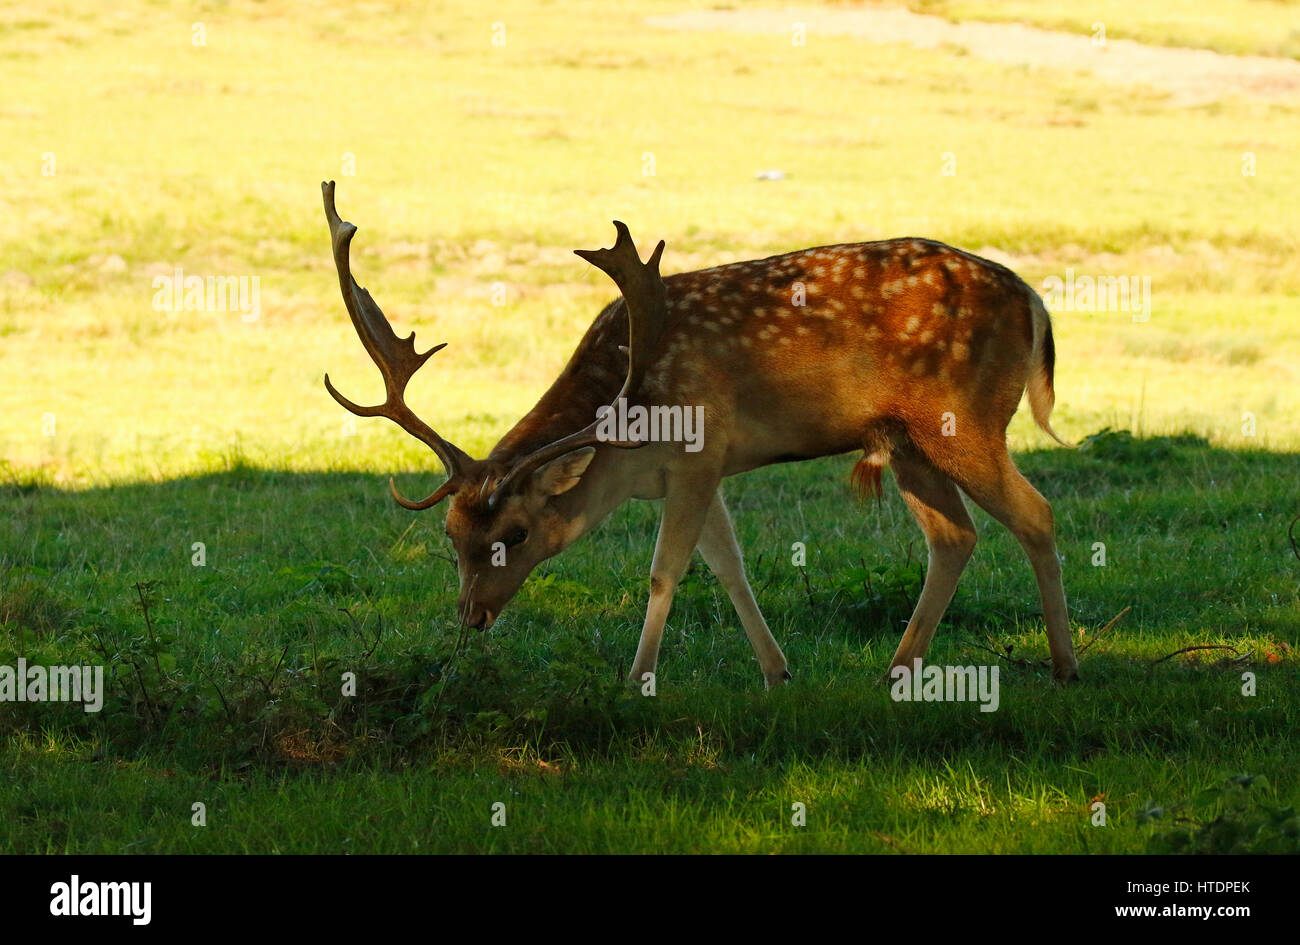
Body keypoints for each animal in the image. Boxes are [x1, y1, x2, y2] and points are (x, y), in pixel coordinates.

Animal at [320, 180, 1080, 689]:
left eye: (517, 533)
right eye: (451, 534)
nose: (471, 616)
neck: (625, 447)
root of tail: (1035, 302)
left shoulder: (698, 449)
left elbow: (667, 569)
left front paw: (637, 679)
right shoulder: (691, 471)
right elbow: (727, 565)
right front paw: (776, 672)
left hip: (965, 417)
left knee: (1036, 513)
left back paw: (1064, 665)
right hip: (906, 441)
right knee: (955, 535)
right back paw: (897, 667)